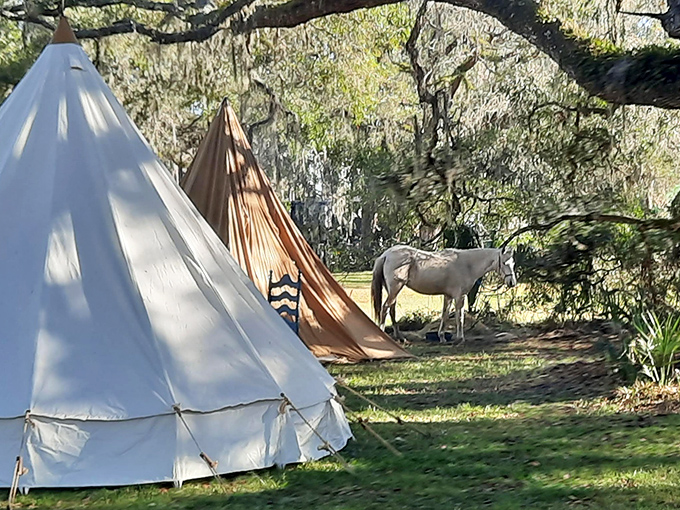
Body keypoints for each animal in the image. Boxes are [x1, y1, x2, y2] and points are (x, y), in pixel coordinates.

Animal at [371, 245, 517, 343]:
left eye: (513, 263)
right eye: (505, 263)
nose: (512, 282)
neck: (467, 265)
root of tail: (386, 255)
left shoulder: (448, 296)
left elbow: (445, 315)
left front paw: (442, 337)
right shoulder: (459, 296)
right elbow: (459, 317)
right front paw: (460, 338)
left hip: (393, 290)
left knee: (392, 309)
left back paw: (400, 338)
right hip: (395, 288)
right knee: (385, 308)